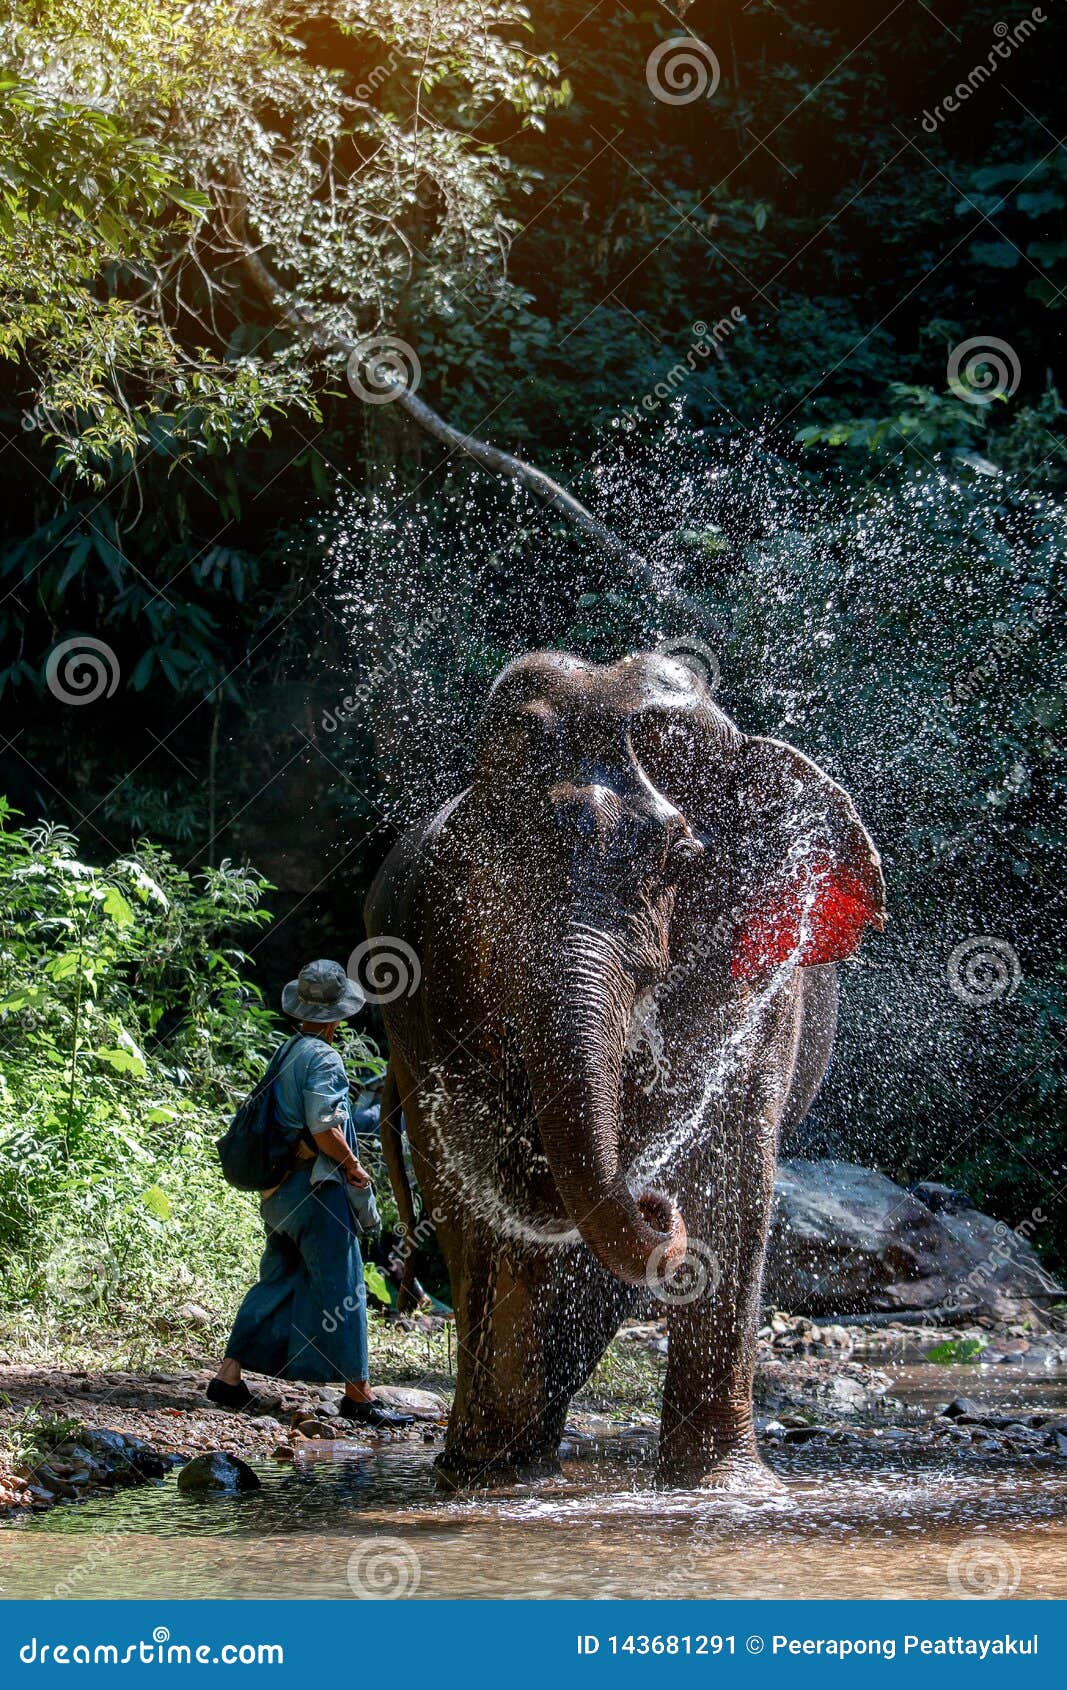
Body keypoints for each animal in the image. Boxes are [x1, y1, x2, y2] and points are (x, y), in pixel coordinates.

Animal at [365, 649, 884, 1489]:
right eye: (487, 868)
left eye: (677, 858)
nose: (652, 1205)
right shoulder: (434, 968)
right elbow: (479, 1175)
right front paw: (491, 1477)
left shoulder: (759, 983)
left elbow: (731, 1167)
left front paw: (725, 1490)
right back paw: (500, 1459)